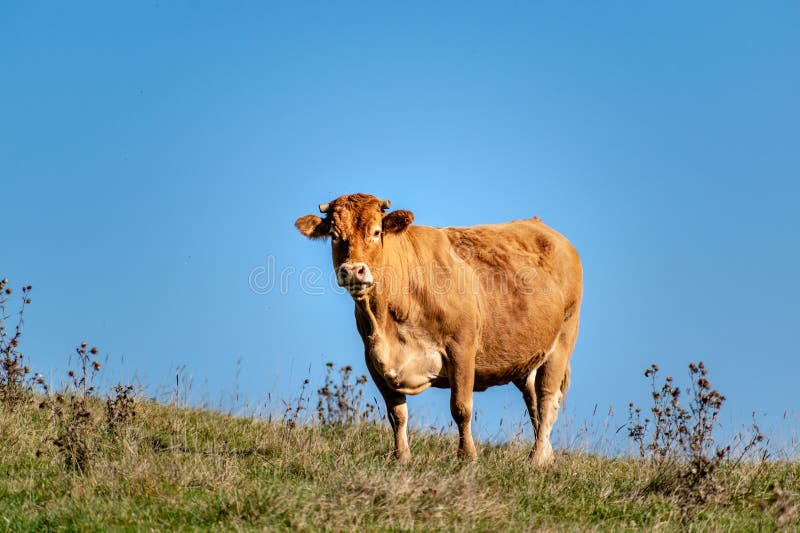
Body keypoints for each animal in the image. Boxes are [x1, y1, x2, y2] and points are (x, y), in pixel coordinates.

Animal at [295, 193, 582, 465]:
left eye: (376, 232)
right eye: (334, 236)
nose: (354, 270)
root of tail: (540, 226)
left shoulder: (462, 347)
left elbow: (461, 408)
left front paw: (467, 456)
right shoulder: (373, 359)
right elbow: (396, 413)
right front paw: (402, 457)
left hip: (563, 338)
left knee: (547, 399)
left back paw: (536, 458)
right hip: (526, 356)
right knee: (533, 399)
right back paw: (547, 456)